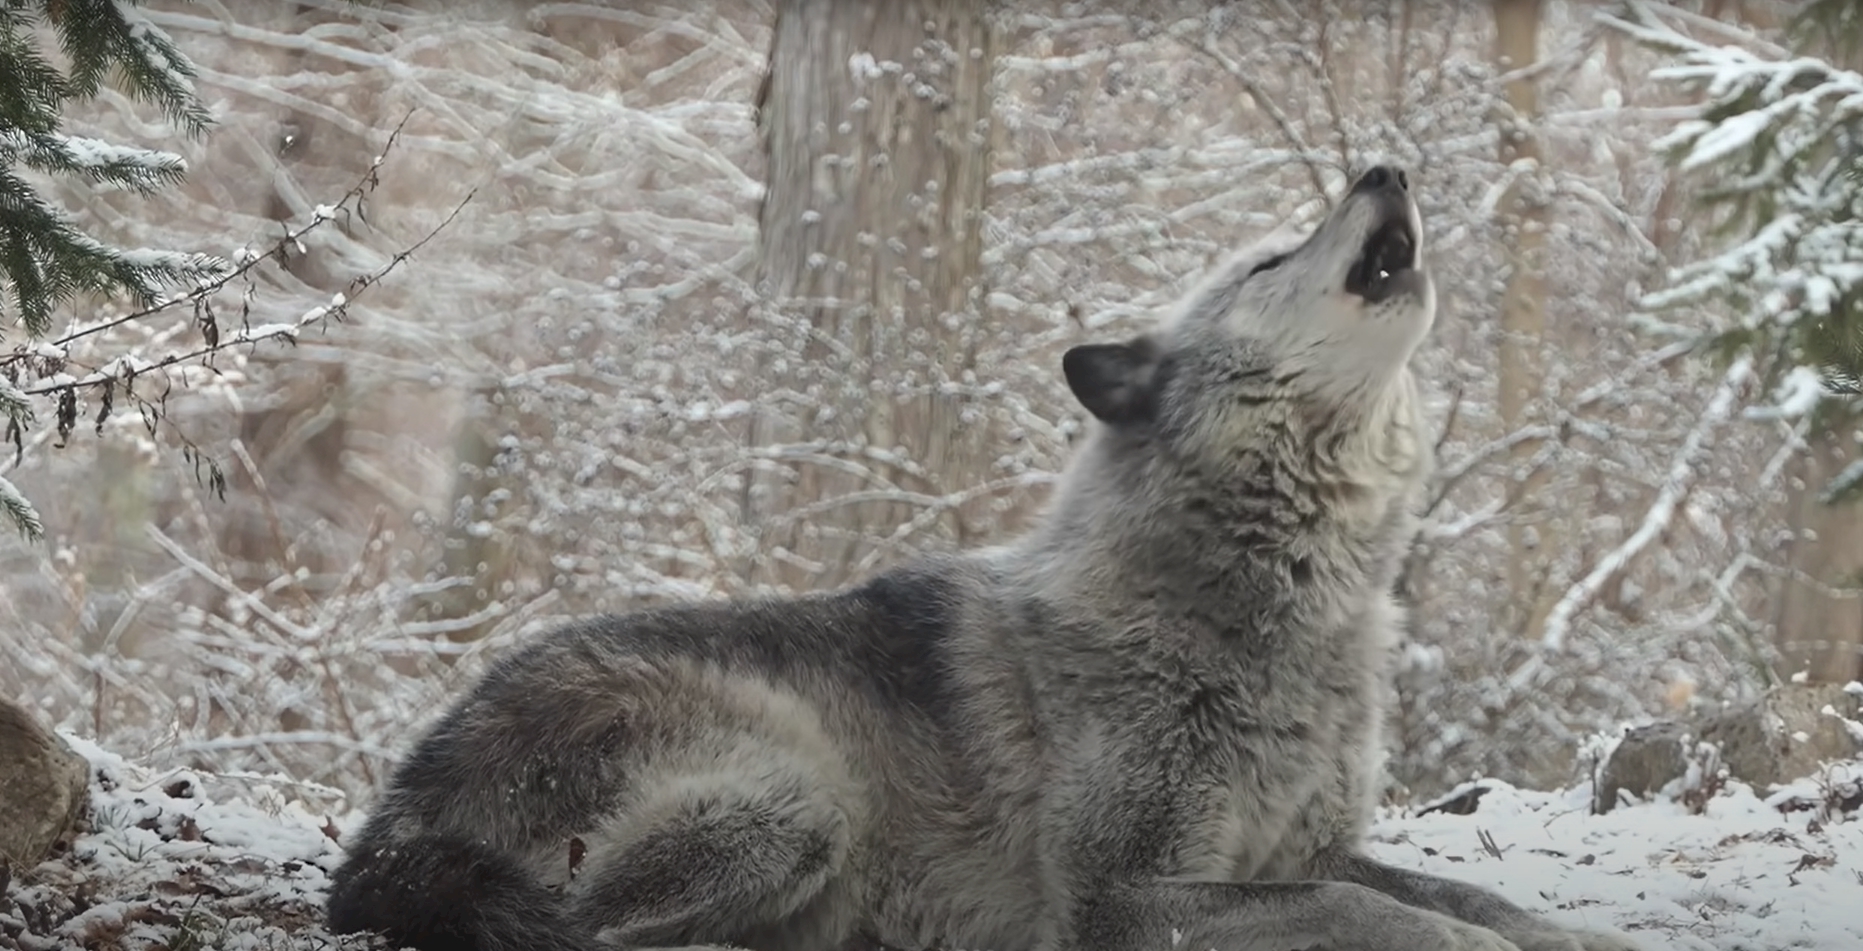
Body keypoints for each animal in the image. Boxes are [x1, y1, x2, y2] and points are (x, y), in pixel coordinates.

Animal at [325, 166, 1644, 951]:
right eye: (1269, 261)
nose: (1386, 169)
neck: (1278, 604)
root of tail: (397, 811)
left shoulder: (1303, 842)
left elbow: (1460, 888)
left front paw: (1574, 935)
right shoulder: (1123, 896)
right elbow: (1364, 907)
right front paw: (1464, 945)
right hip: (793, 794)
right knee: (596, 935)